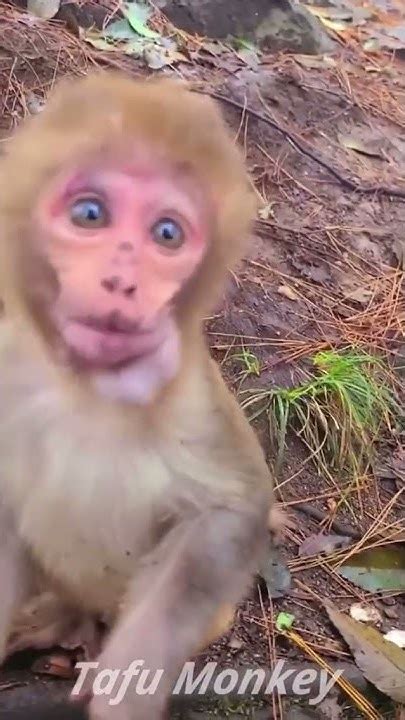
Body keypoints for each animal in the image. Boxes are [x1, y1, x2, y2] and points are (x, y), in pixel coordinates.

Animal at [0, 71, 281, 719]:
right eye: (90, 214)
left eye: (167, 234)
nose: (122, 282)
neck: (81, 391)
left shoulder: (192, 398)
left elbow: (227, 516)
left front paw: (123, 692)